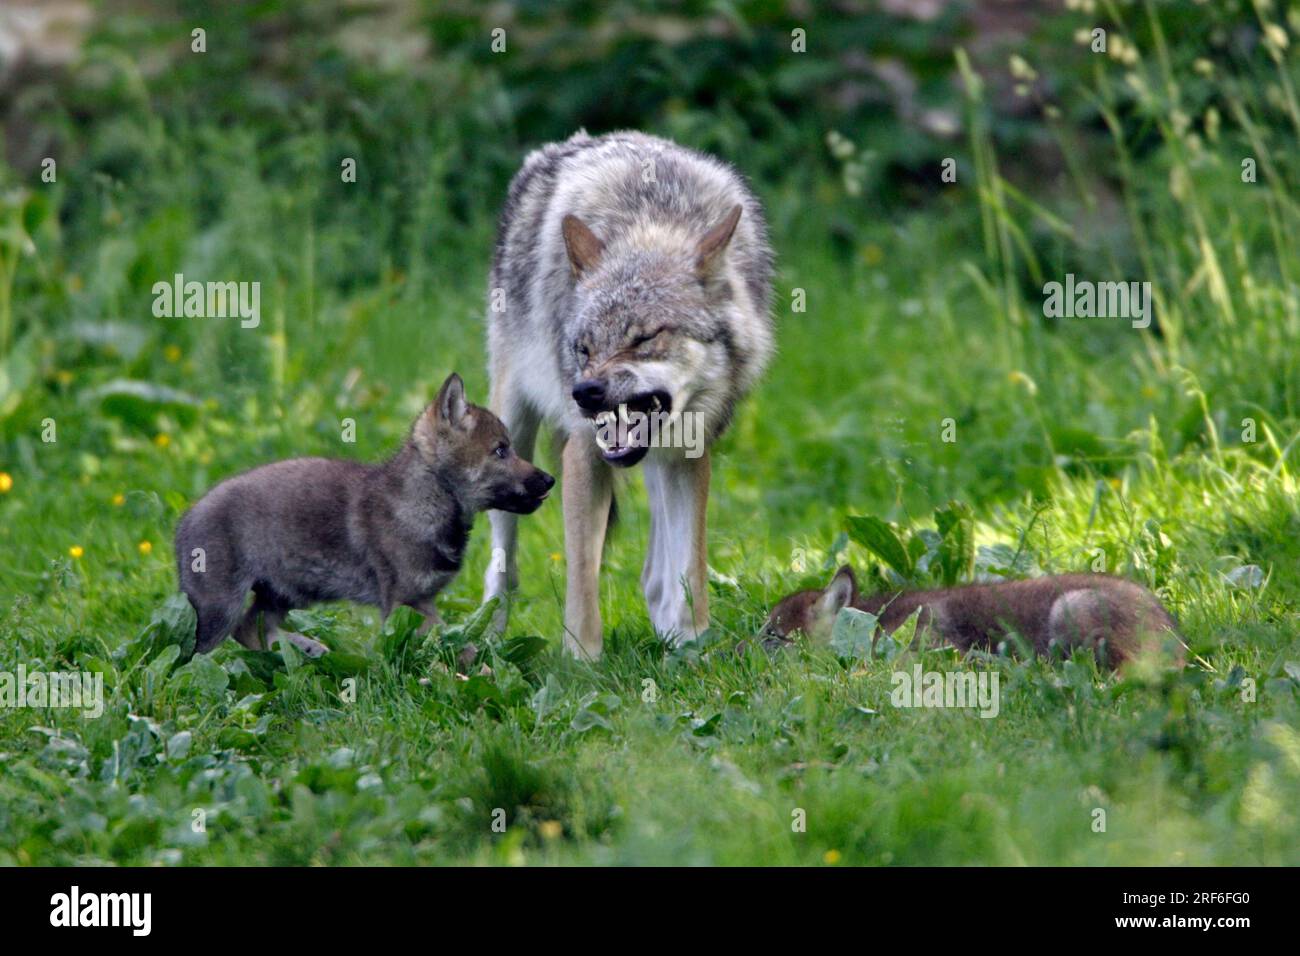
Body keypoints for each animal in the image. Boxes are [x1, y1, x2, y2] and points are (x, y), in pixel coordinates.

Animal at [175, 373, 554, 656]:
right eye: (500, 451)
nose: (550, 480)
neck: (428, 499)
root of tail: (183, 520)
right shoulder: (406, 602)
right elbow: (456, 642)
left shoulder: (422, 602)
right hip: (220, 608)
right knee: (203, 652)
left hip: (285, 592)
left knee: (252, 629)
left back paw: (305, 651)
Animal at [482, 131, 774, 658]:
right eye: (584, 347)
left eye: (644, 338)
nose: (583, 392)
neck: (649, 221)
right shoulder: (584, 453)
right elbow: (582, 584)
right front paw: (581, 663)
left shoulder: (689, 454)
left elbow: (690, 571)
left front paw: (693, 648)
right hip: (511, 435)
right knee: (503, 570)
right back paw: (485, 641)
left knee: (655, 576)